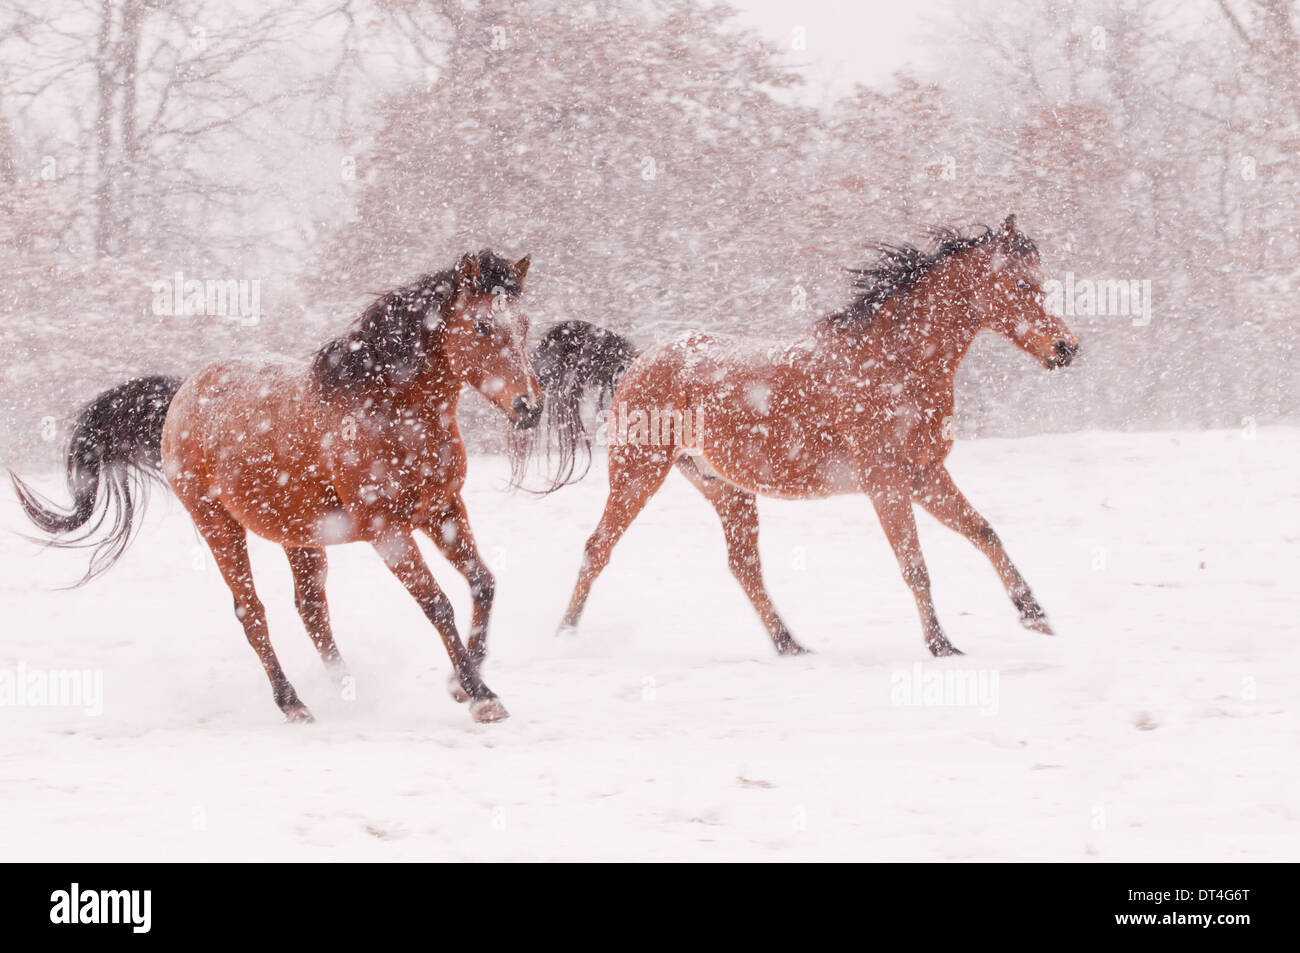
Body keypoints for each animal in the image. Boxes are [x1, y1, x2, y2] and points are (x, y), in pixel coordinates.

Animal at [10, 250, 541, 724]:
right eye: (483, 327)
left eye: (525, 325)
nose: (530, 407)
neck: (388, 412)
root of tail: (182, 394)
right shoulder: (386, 529)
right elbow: (438, 604)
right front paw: (481, 696)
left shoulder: (442, 509)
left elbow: (483, 582)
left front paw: (461, 683)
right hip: (219, 527)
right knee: (252, 611)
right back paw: (294, 704)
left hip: (299, 534)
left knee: (311, 610)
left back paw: (345, 690)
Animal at [527, 216, 1078, 658]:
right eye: (1022, 282)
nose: (1066, 348)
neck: (894, 364)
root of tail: (638, 361)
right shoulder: (886, 483)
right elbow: (914, 564)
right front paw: (942, 645)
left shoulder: (924, 475)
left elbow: (984, 532)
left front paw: (1035, 616)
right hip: (638, 473)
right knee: (597, 548)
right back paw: (564, 637)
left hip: (725, 489)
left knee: (743, 566)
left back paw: (789, 643)